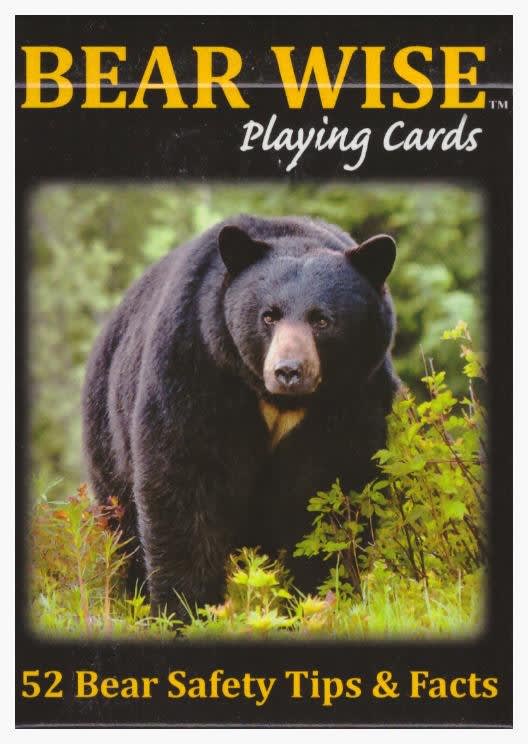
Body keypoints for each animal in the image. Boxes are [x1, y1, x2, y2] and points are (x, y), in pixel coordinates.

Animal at [82, 214, 398, 616]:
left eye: (322, 320)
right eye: (268, 316)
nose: (289, 370)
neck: (277, 402)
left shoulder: (354, 396)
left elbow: (335, 493)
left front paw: (319, 598)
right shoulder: (197, 367)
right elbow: (185, 482)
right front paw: (187, 608)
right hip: (107, 431)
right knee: (123, 525)